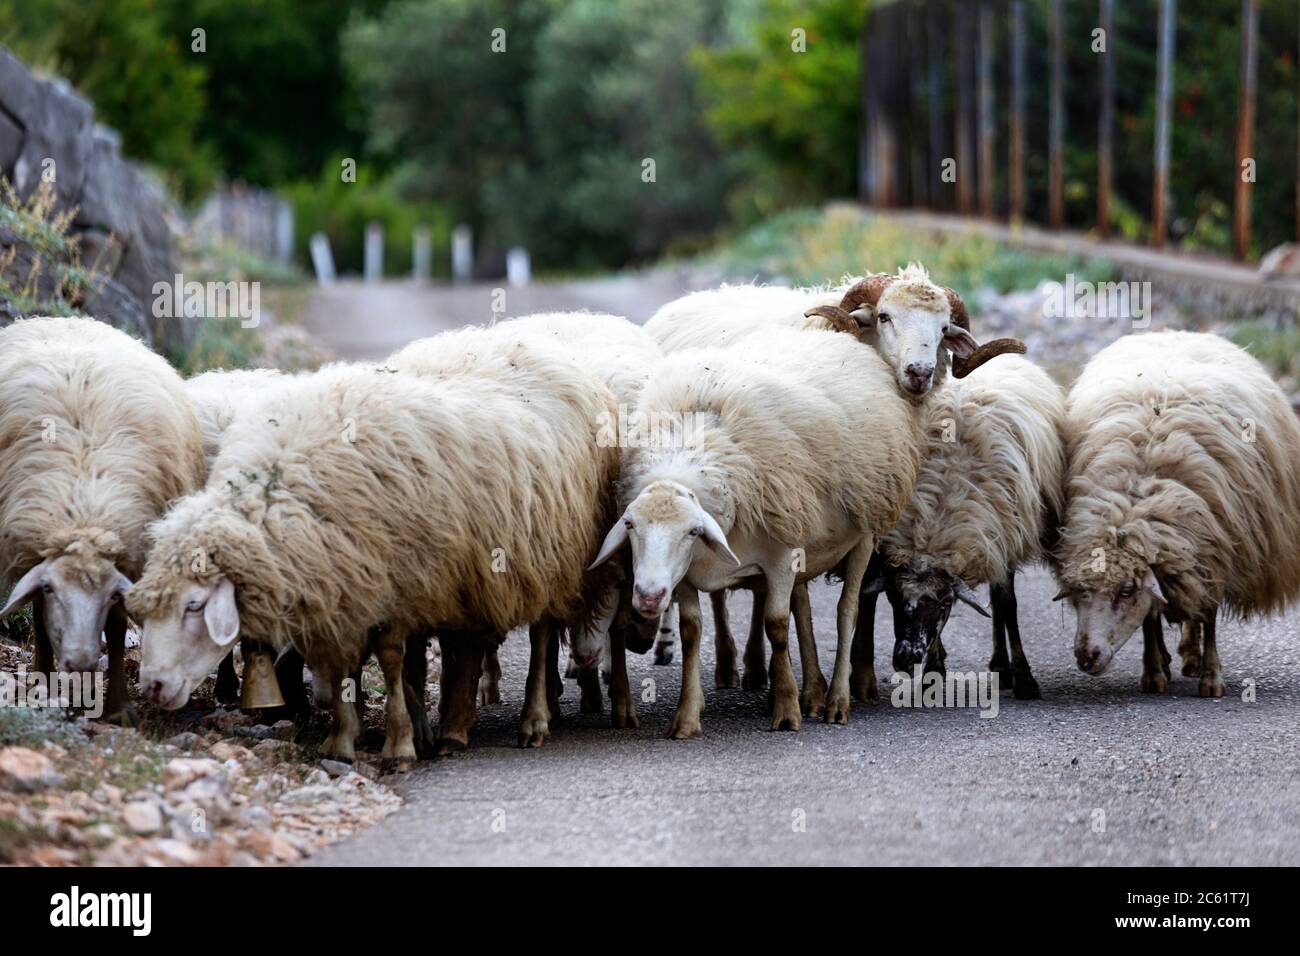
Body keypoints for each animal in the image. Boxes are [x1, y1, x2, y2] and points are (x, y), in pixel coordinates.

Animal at [0, 317, 205, 721]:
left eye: (110, 595)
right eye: (51, 588)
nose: (80, 663)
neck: (82, 512)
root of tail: (69, 319)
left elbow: (116, 628)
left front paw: (118, 707)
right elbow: (42, 623)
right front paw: (44, 691)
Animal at [129, 334, 622, 769]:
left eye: (194, 605)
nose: (152, 685)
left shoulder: (398, 580)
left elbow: (390, 660)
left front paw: (399, 746)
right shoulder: (348, 583)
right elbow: (345, 662)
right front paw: (345, 741)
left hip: (548, 554)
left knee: (541, 639)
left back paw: (532, 720)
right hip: (470, 568)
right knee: (464, 644)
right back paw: (452, 728)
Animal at [589, 326, 923, 733]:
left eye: (692, 531)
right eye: (630, 525)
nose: (649, 597)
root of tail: (840, 340)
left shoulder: (780, 557)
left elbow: (777, 625)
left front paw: (786, 709)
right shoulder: (684, 574)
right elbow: (691, 631)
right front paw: (687, 716)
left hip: (863, 533)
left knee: (847, 612)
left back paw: (836, 701)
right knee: (804, 611)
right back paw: (813, 693)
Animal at [854, 355, 1066, 701]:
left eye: (943, 604)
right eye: (894, 598)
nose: (906, 658)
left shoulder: (1004, 535)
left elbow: (1007, 604)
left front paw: (1024, 678)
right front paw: (934, 672)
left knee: (999, 600)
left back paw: (1003, 668)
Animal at [1054, 330, 1300, 697]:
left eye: (1125, 591)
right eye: (1080, 592)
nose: (1086, 657)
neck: (1136, 496)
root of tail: (1175, 332)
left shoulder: (1216, 545)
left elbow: (1208, 615)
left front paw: (1211, 677)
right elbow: (1151, 616)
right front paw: (1154, 671)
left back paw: (1192, 656)